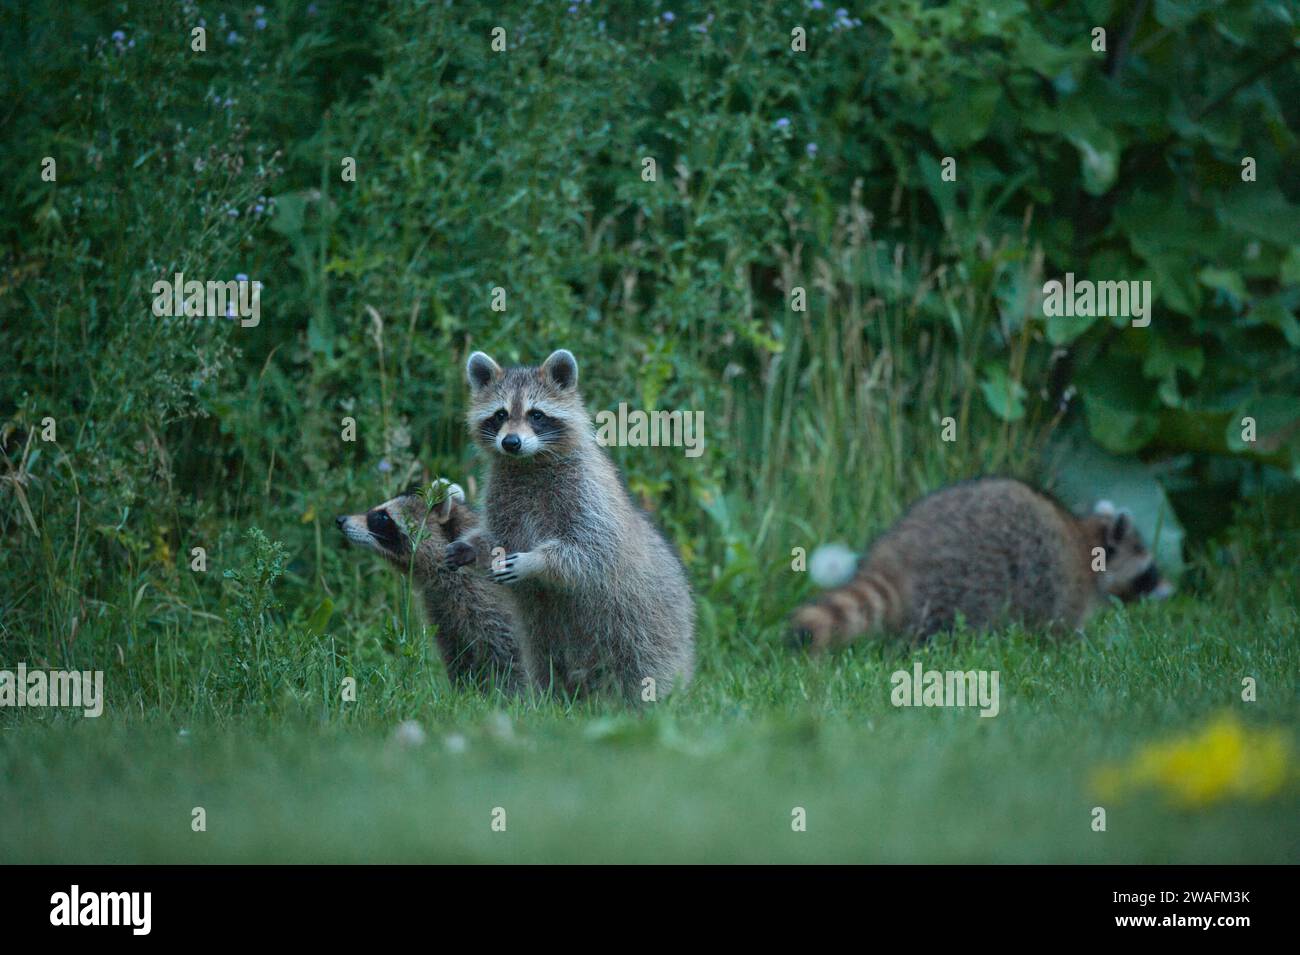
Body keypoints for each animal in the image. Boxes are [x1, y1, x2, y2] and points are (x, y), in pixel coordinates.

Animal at [336, 482, 524, 694]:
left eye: (382, 517)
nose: (340, 520)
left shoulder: (491, 605)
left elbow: (509, 659)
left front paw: (510, 695)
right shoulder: (444, 613)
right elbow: (457, 657)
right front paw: (462, 691)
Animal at [445, 349, 695, 702]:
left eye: (536, 415)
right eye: (500, 414)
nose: (511, 443)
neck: (527, 463)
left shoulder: (586, 493)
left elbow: (590, 549)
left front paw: (536, 561)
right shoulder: (502, 494)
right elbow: (497, 537)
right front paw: (471, 547)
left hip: (650, 620)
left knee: (647, 663)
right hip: (542, 629)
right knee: (541, 654)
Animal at [791, 477, 1170, 650]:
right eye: (1150, 571)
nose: (1169, 589)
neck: (1086, 537)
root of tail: (899, 553)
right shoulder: (1068, 585)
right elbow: (1061, 626)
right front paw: (1076, 644)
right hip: (968, 578)